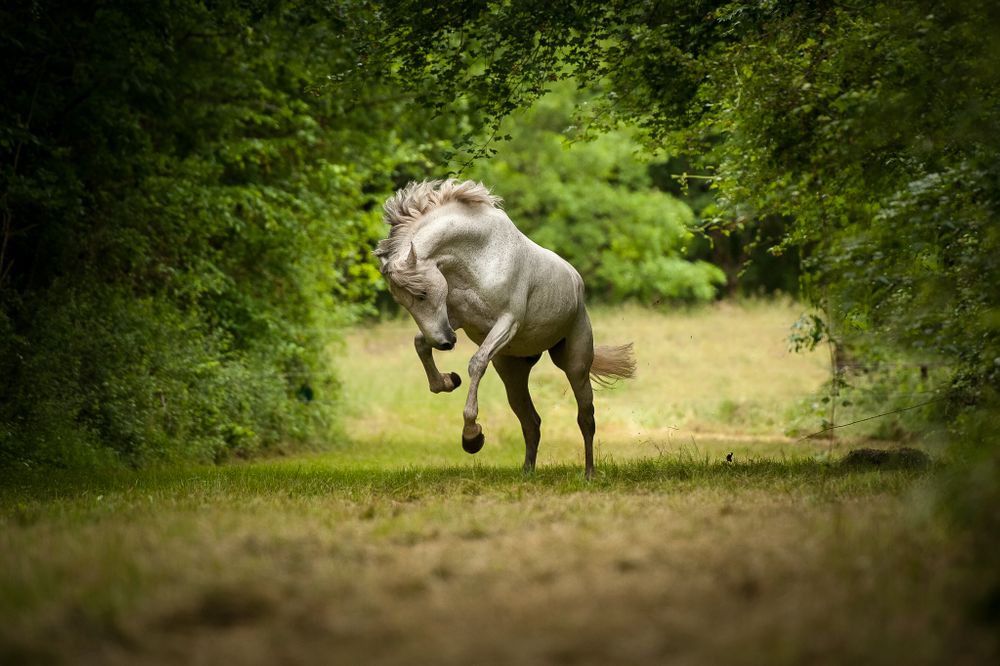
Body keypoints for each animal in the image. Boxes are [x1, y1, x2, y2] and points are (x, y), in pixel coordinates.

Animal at [375, 179, 635, 478]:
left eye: (422, 294)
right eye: (403, 301)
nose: (446, 343)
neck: (480, 255)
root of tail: (577, 283)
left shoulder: (507, 322)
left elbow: (476, 363)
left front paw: (472, 437)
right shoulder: (457, 320)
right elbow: (420, 343)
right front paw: (448, 381)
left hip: (575, 366)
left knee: (586, 418)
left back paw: (589, 474)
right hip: (513, 372)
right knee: (531, 422)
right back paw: (527, 472)